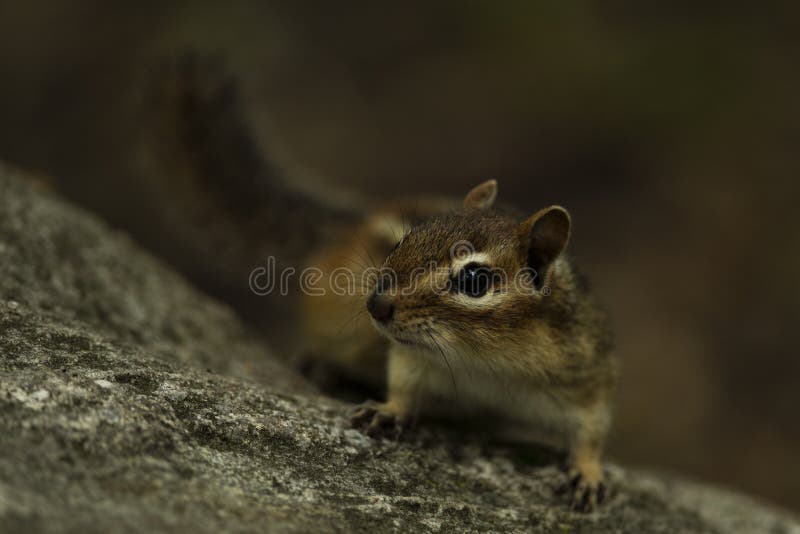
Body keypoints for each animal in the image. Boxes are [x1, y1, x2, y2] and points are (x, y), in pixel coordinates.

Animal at [136, 55, 617, 512]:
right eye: (408, 238)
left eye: (475, 280)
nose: (376, 305)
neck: (487, 363)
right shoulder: (413, 357)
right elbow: (402, 383)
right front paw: (389, 411)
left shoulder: (587, 372)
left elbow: (592, 428)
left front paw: (588, 474)